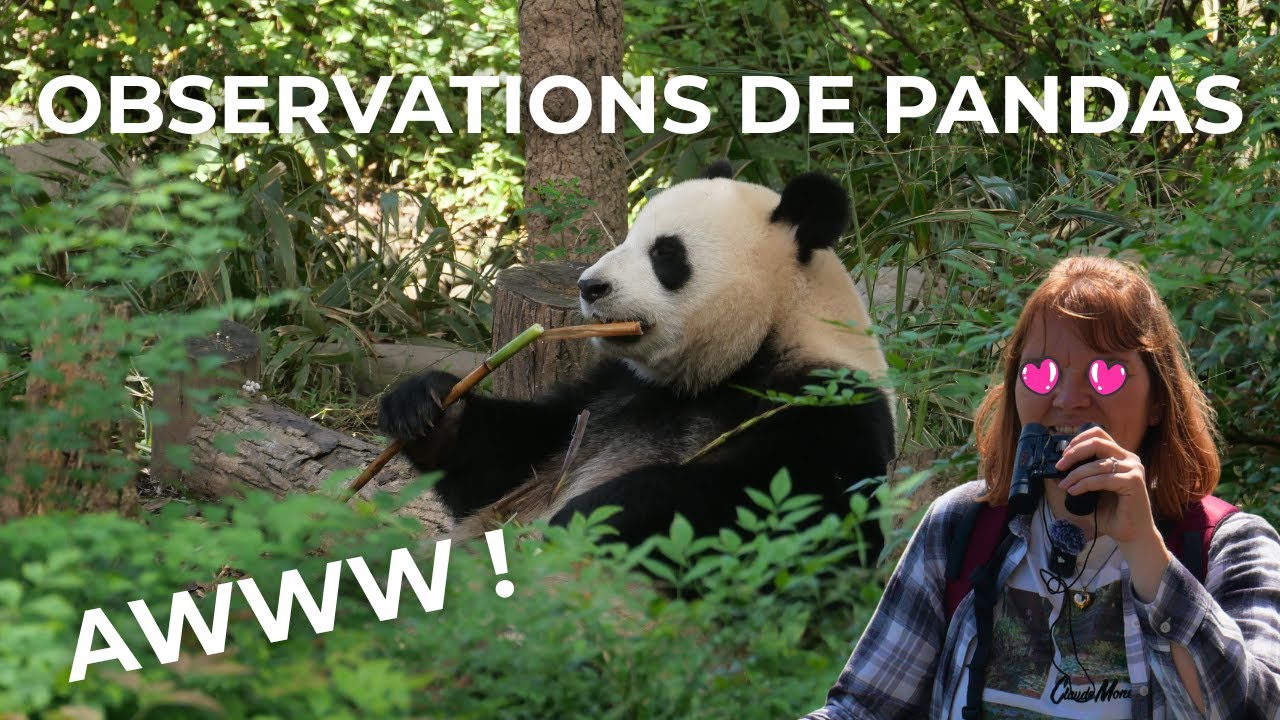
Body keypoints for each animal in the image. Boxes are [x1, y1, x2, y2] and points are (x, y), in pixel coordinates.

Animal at [378, 161, 896, 548]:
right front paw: (425, 408)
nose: (589, 286)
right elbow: (508, 463)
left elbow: (790, 506)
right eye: (628, 237)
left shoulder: (826, 400)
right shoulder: (612, 389)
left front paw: (587, 515)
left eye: (666, 253)